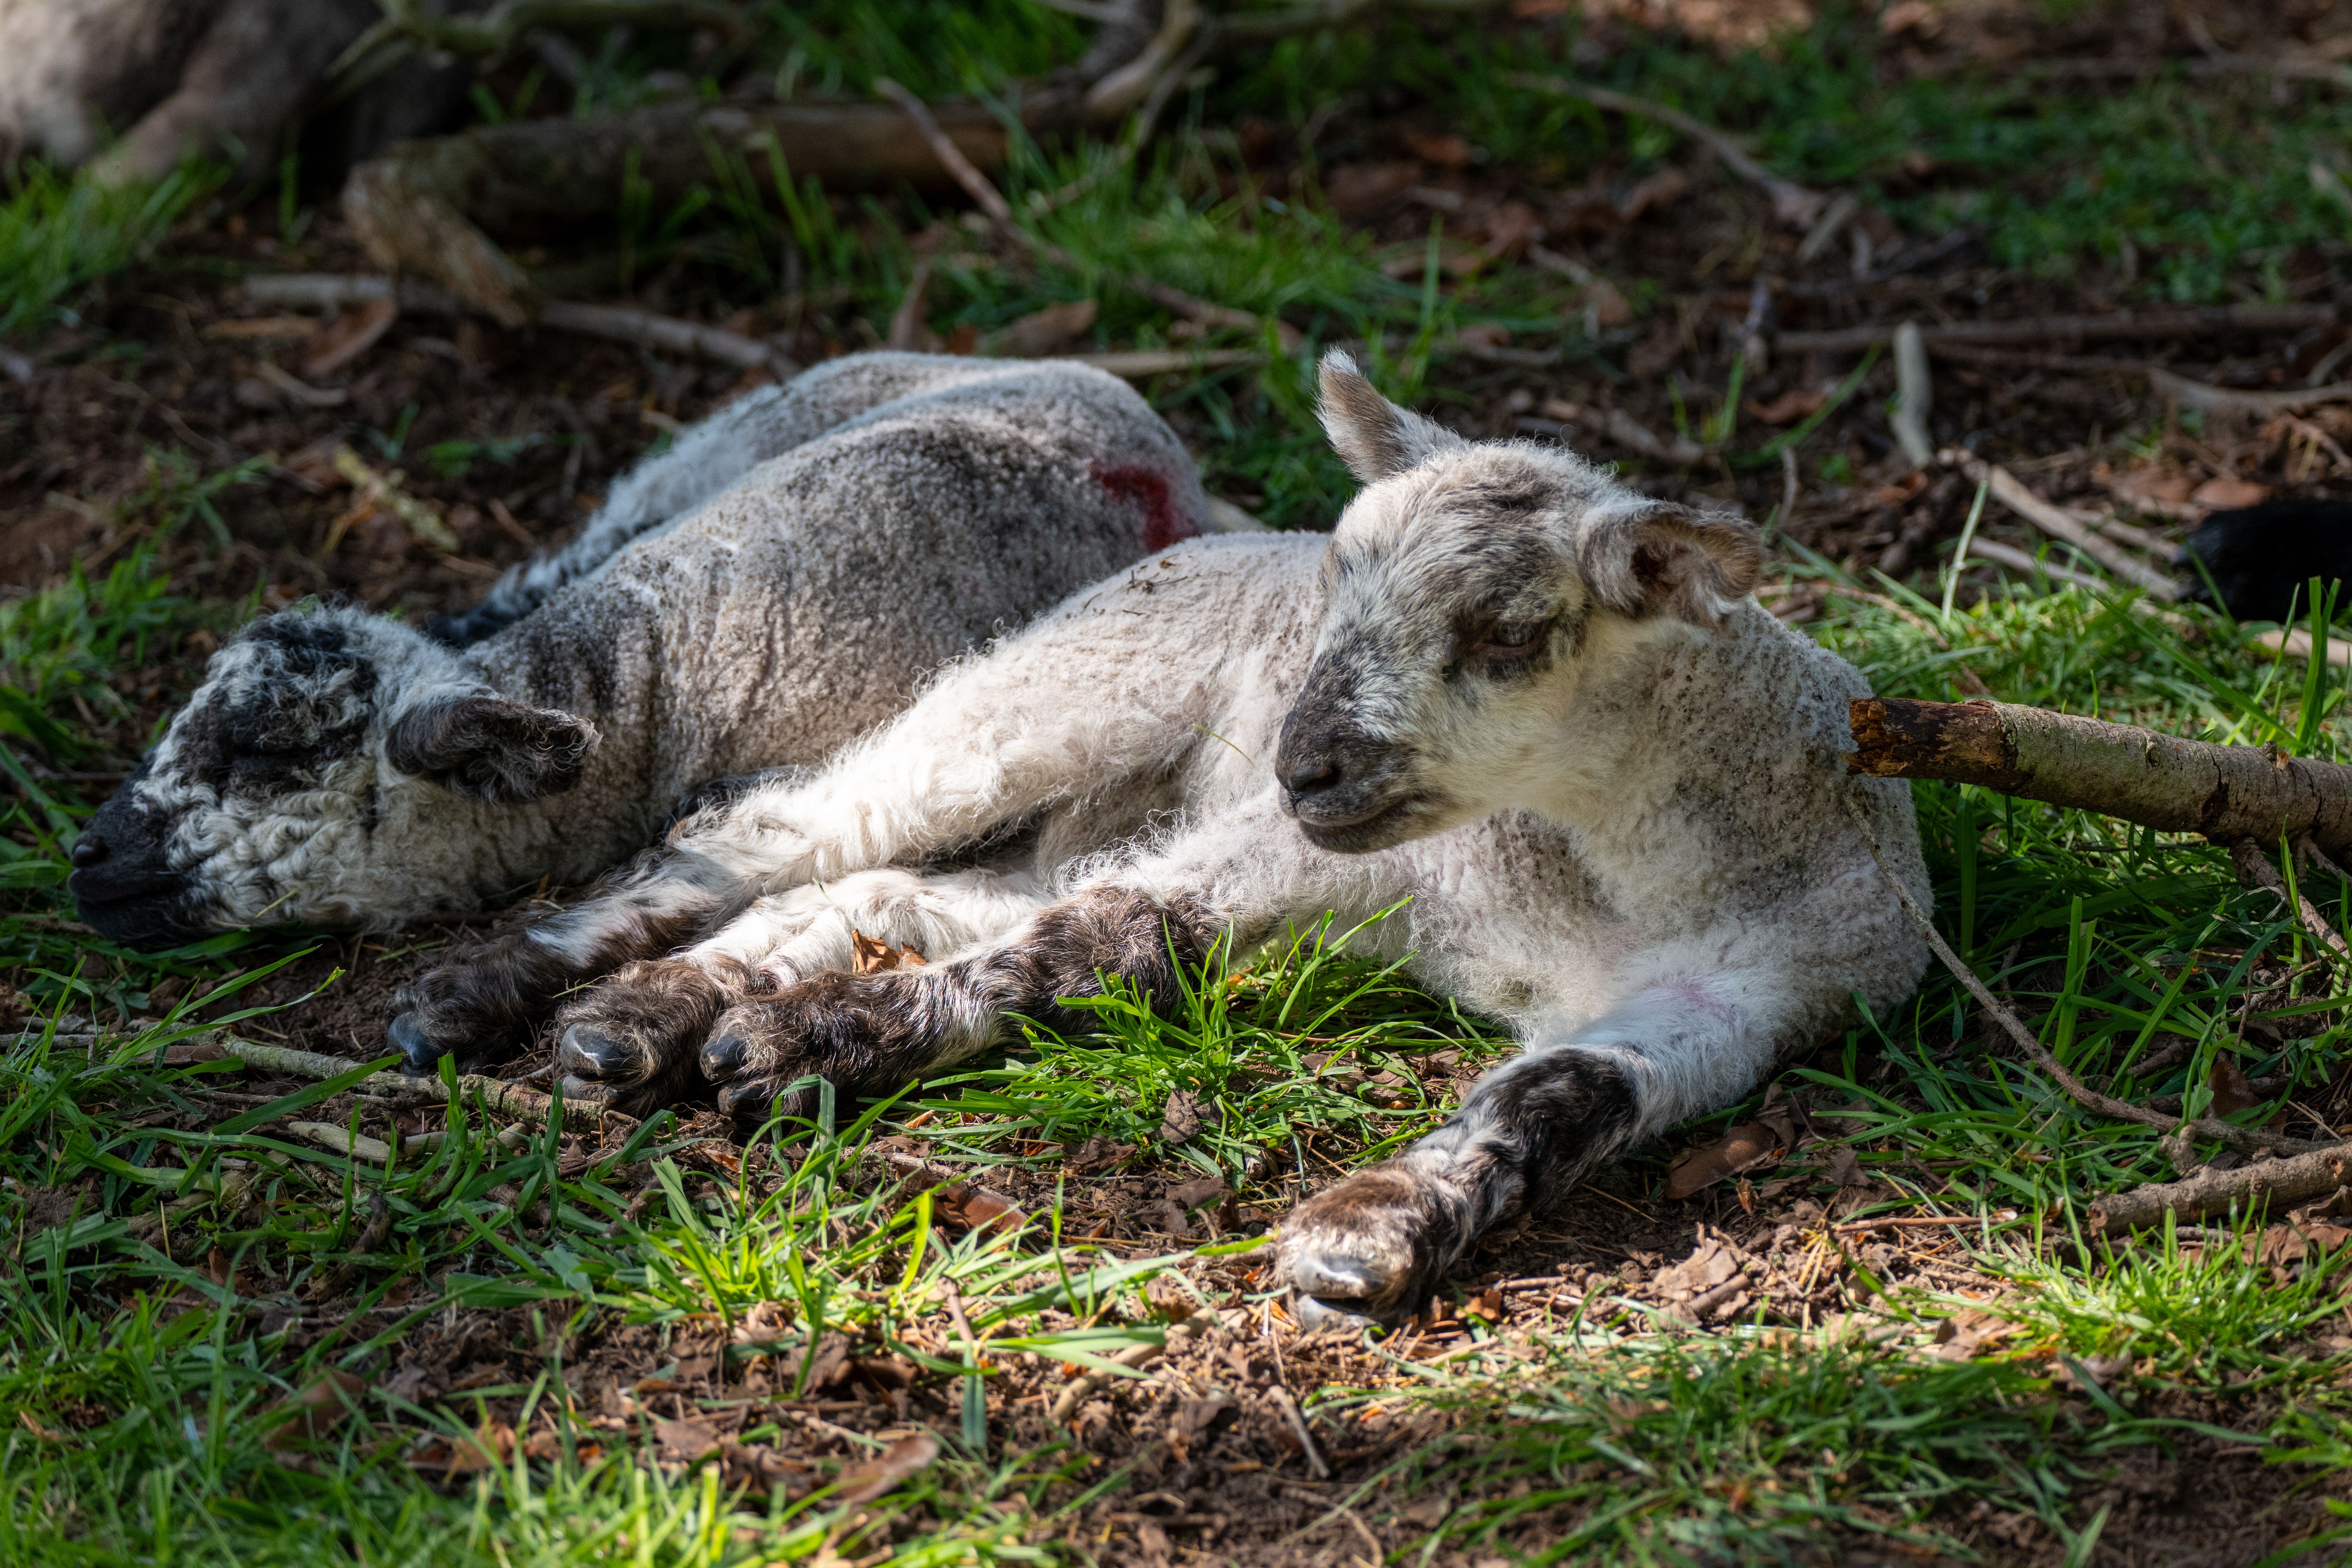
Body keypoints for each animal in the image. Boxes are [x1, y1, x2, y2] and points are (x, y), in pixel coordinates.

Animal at [388, 351, 1932, 1326]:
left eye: (1508, 635)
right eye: (1341, 584)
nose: (1307, 762)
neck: (1596, 875)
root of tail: (1201, 537)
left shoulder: (1749, 996)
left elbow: (1563, 1095)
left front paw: (1369, 1236)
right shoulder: (1301, 852)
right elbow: (1094, 941)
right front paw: (806, 1044)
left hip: (1103, 802)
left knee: (878, 888)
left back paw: (658, 1020)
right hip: (1043, 696)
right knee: (786, 828)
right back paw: (513, 994)